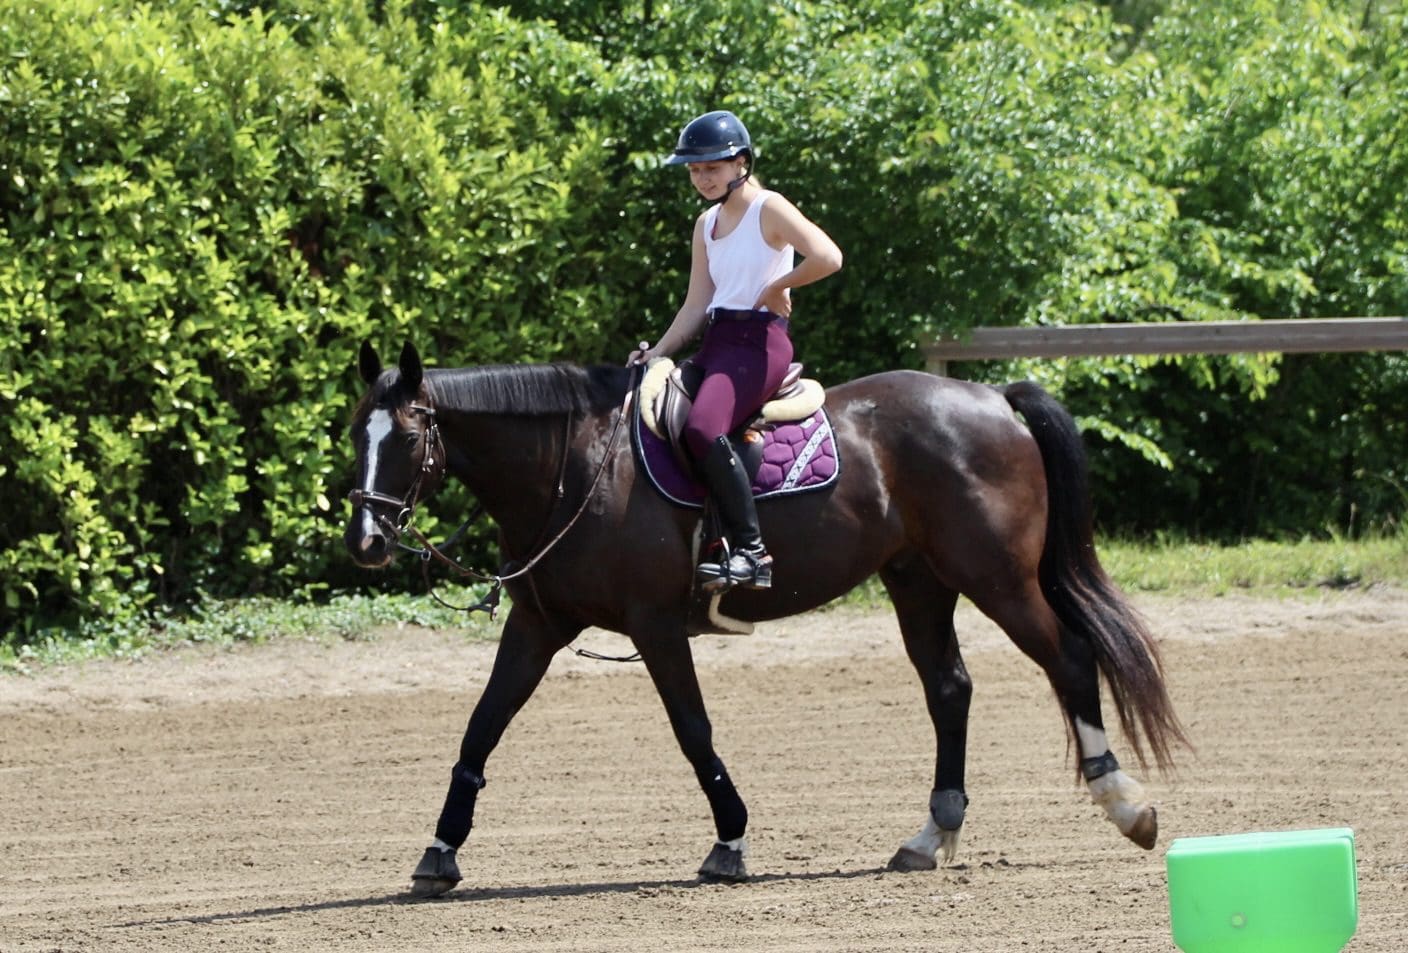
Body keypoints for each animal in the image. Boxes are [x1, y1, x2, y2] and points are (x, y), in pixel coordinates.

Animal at [343, 340, 1186, 898]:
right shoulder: (537, 625)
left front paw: (730, 839)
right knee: (950, 688)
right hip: (919, 580)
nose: (367, 542)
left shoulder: (655, 624)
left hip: (997, 578)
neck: (577, 467)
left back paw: (1125, 803)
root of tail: (991, 398)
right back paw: (930, 834)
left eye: (409, 434)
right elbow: (480, 727)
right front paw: (440, 849)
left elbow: (693, 732)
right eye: (354, 433)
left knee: (1069, 657)